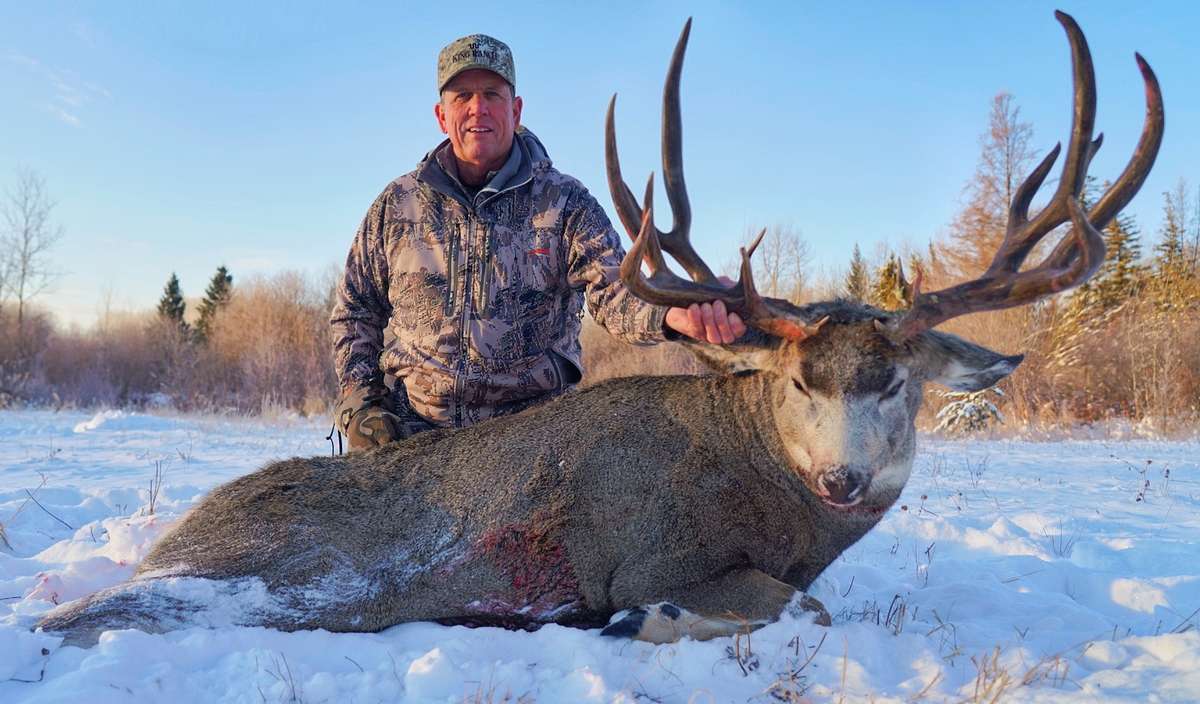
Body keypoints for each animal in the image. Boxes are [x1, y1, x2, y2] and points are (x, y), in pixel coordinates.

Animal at [37, 11, 1161, 647]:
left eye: (895, 382)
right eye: (800, 379)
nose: (844, 477)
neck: (772, 495)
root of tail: (177, 534)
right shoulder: (652, 549)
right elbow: (795, 605)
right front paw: (638, 622)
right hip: (273, 579)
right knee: (80, 611)